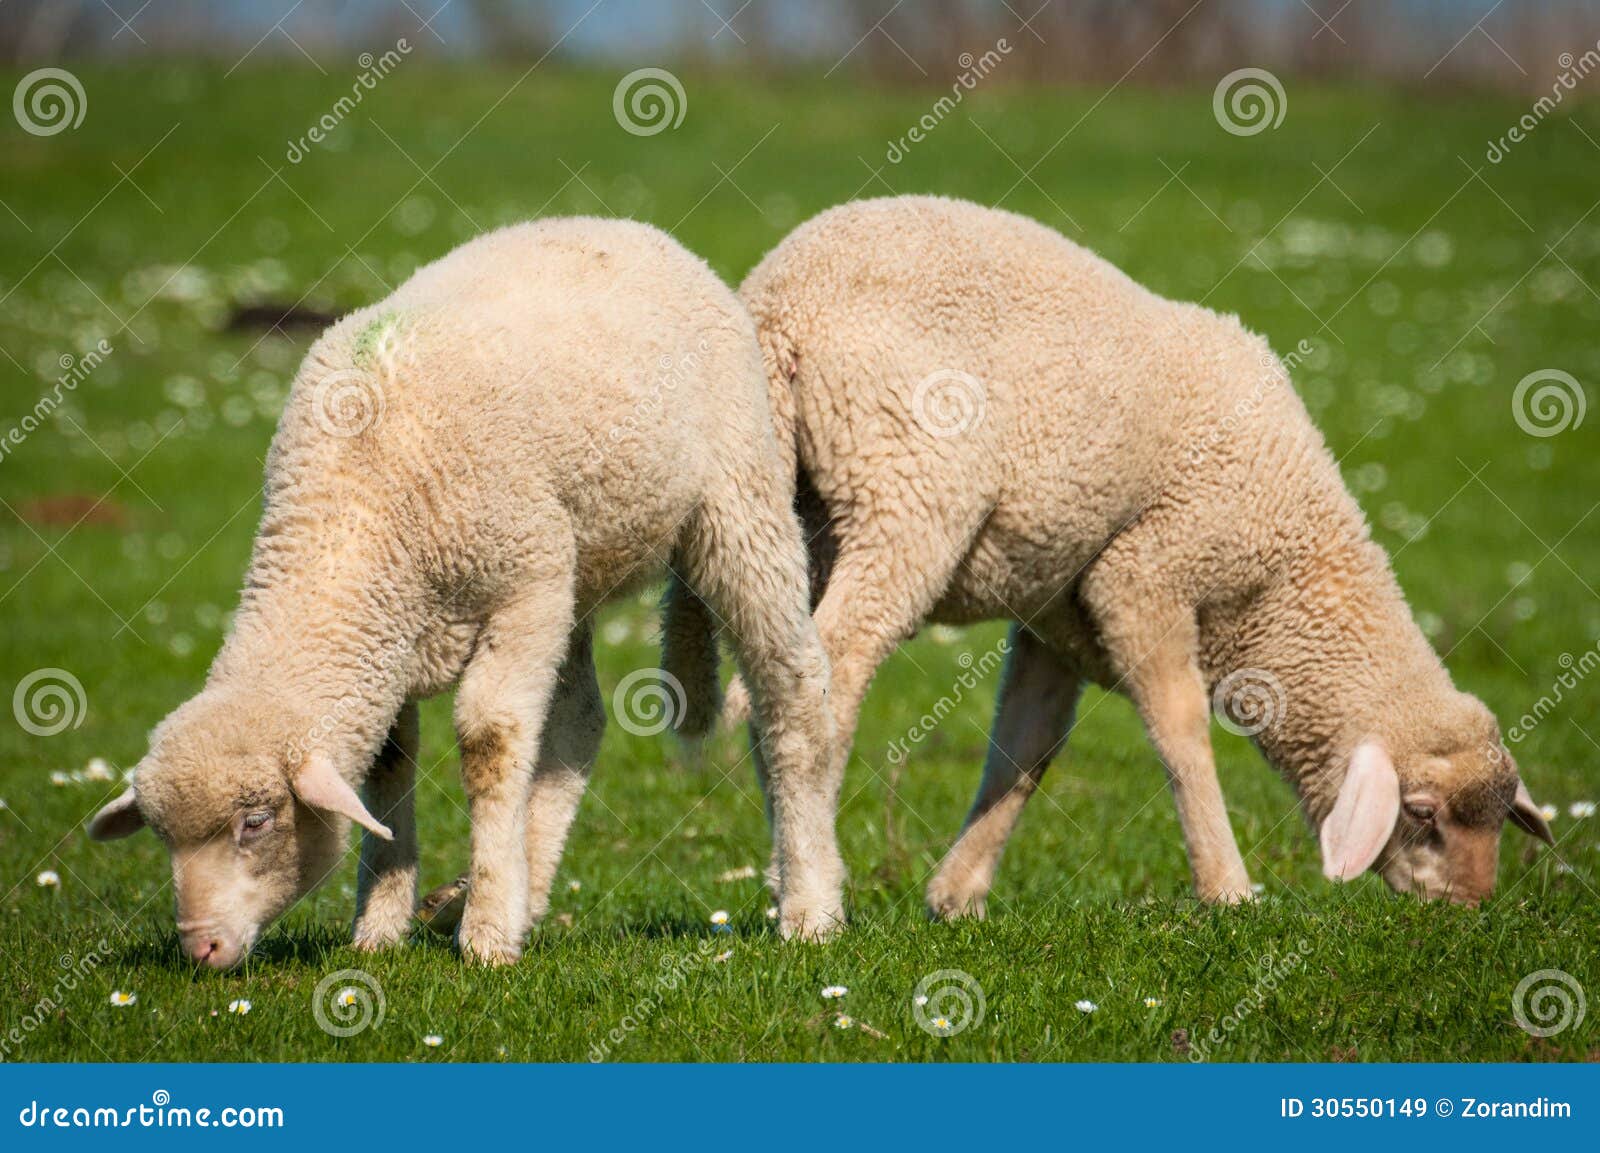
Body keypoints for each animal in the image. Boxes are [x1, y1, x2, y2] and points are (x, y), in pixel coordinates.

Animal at [87, 216, 842, 967]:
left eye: (256, 821)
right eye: (162, 837)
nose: (201, 947)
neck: (352, 511)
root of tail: (624, 227)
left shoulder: (522, 584)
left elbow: (491, 738)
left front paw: (485, 934)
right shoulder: (392, 635)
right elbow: (391, 764)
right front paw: (382, 925)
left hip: (734, 500)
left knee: (793, 684)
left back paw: (810, 907)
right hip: (574, 567)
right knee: (579, 722)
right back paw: (524, 888)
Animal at [664, 194, 1553, 912]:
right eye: (1423, 815)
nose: (1469, 908)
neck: (1283, 580)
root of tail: (780, 302)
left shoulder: (1056, 620)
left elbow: (1026, 749)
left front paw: (958, 892)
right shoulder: (1145, 572)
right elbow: (1182, 725)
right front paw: (1228, 889)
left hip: (788, 510)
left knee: (776, 679)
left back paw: (792, 868)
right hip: (908, 492)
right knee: (828, 673)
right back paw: (805, 890)